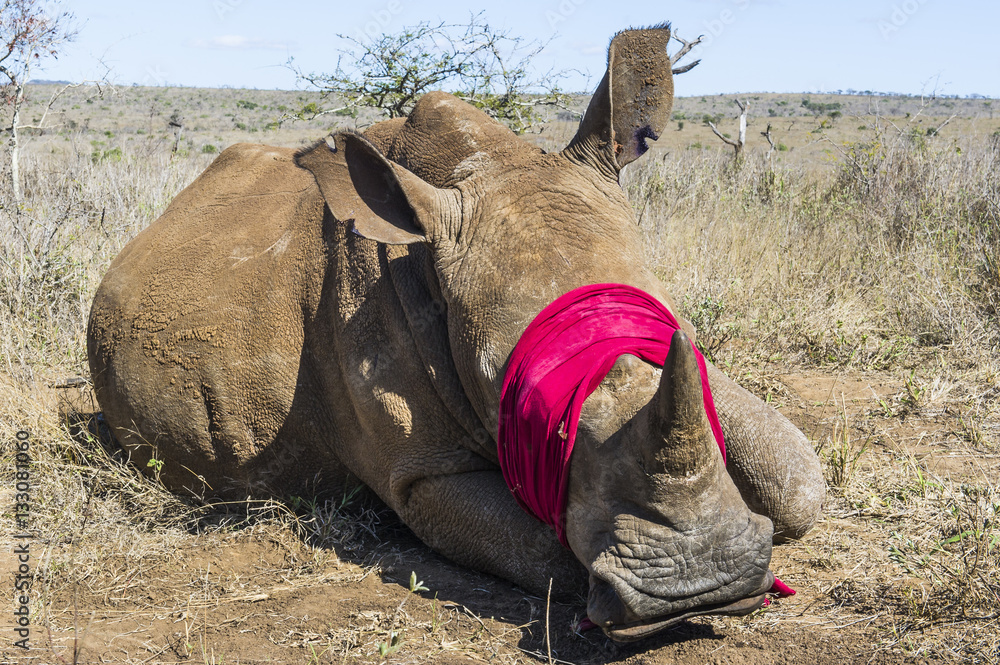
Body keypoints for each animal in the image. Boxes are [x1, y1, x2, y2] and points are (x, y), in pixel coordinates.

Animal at [87, 25, 824, 641]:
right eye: (520, 399)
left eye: (677, 330)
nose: (705, 583)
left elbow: (797, 475)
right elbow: (550, 550)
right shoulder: (422, 475)